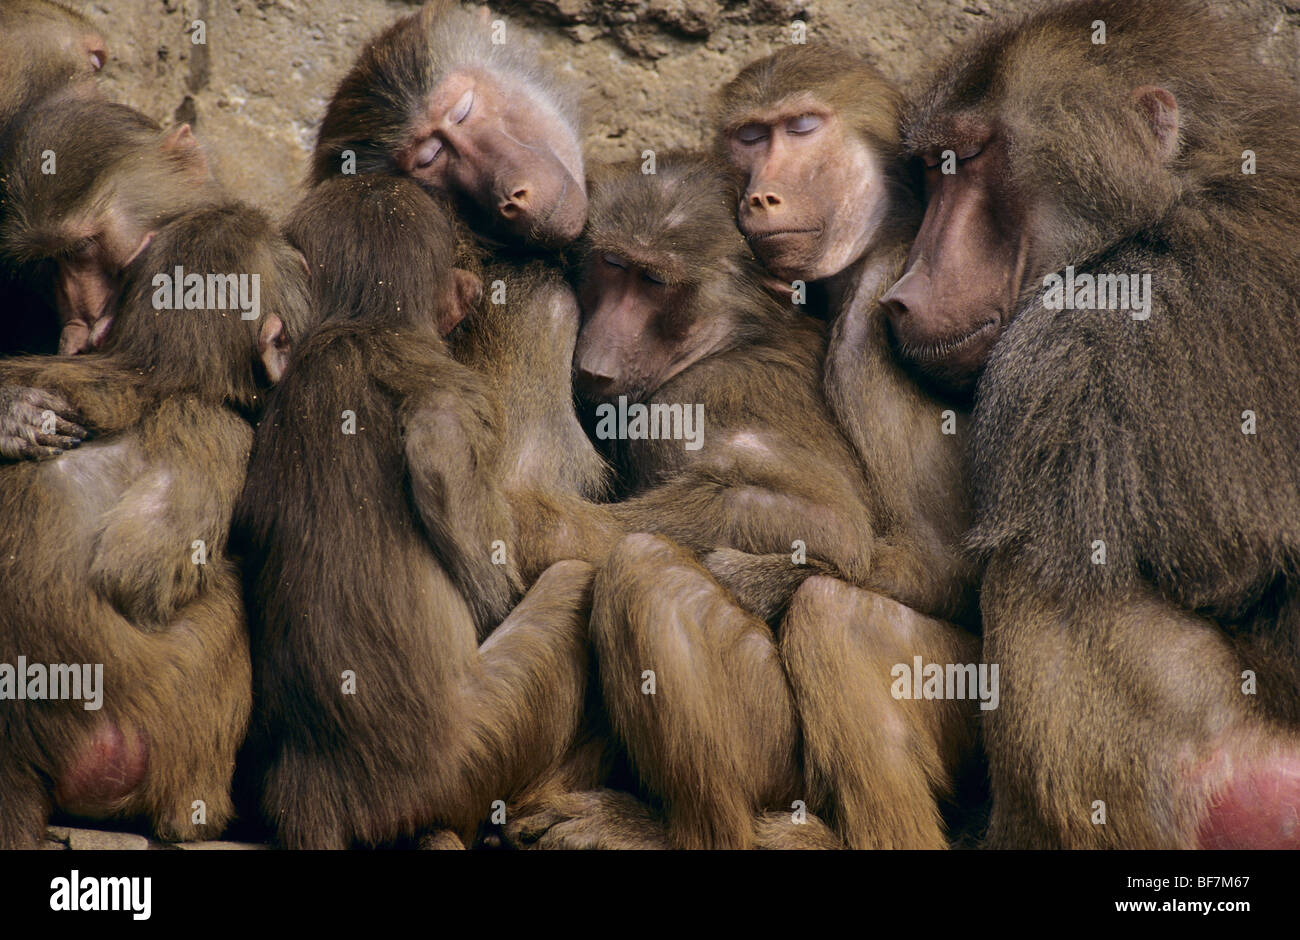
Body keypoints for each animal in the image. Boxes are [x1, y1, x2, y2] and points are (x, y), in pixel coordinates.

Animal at [0, 108, 312, 848]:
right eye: (59, 264)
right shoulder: (223, 435)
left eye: (89, 254)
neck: (153, 362)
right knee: (221, 603)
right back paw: (193, 818)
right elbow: (136, 574)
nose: (81, 317)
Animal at [234, 174, 597, 849]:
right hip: (475, 751)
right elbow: (446, 460)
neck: (361, 322)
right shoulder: (459, 389)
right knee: (573, 585)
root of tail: (315, 793)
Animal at [525, 152, 979, 850]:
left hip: (783, 759)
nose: (598, 348)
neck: (729, 335)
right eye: (611, 266)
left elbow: (831, 525)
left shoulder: (691, 401)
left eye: (652, 281)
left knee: (644, 570)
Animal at [884, 0, 1300, 848]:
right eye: (934, 168)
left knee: (1042, 578)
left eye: (970, 160)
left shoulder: (1068, 351)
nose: (901, 296)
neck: (1188, 187)